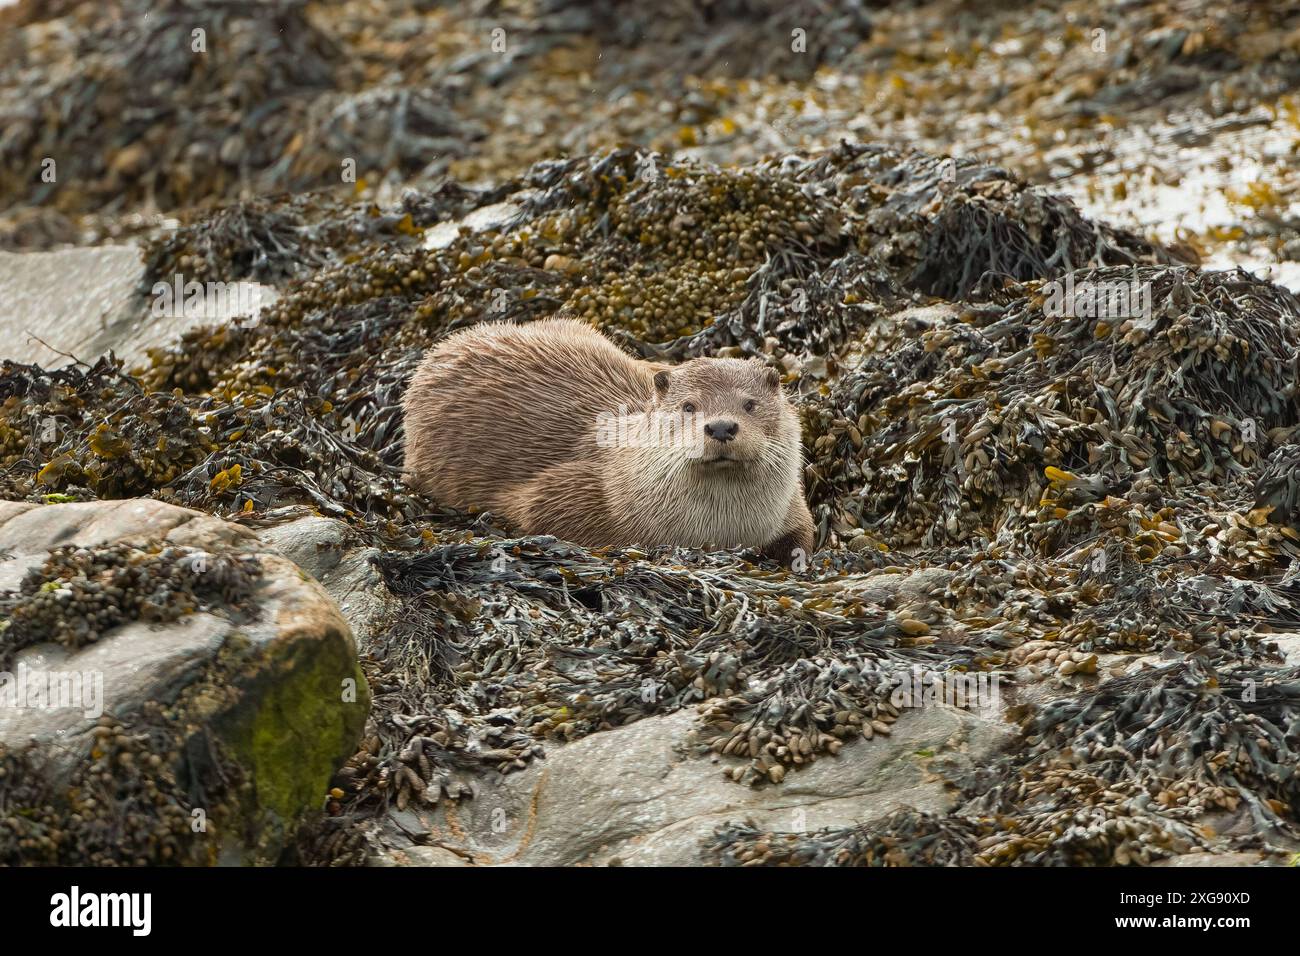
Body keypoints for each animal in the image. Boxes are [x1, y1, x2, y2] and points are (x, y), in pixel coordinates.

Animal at [401, 317, 814, 564]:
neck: (724, 528)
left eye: (750, 404)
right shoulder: (562, 493)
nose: (722, 427)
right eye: (689, 406)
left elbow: (804, 536)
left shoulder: (791, 508)